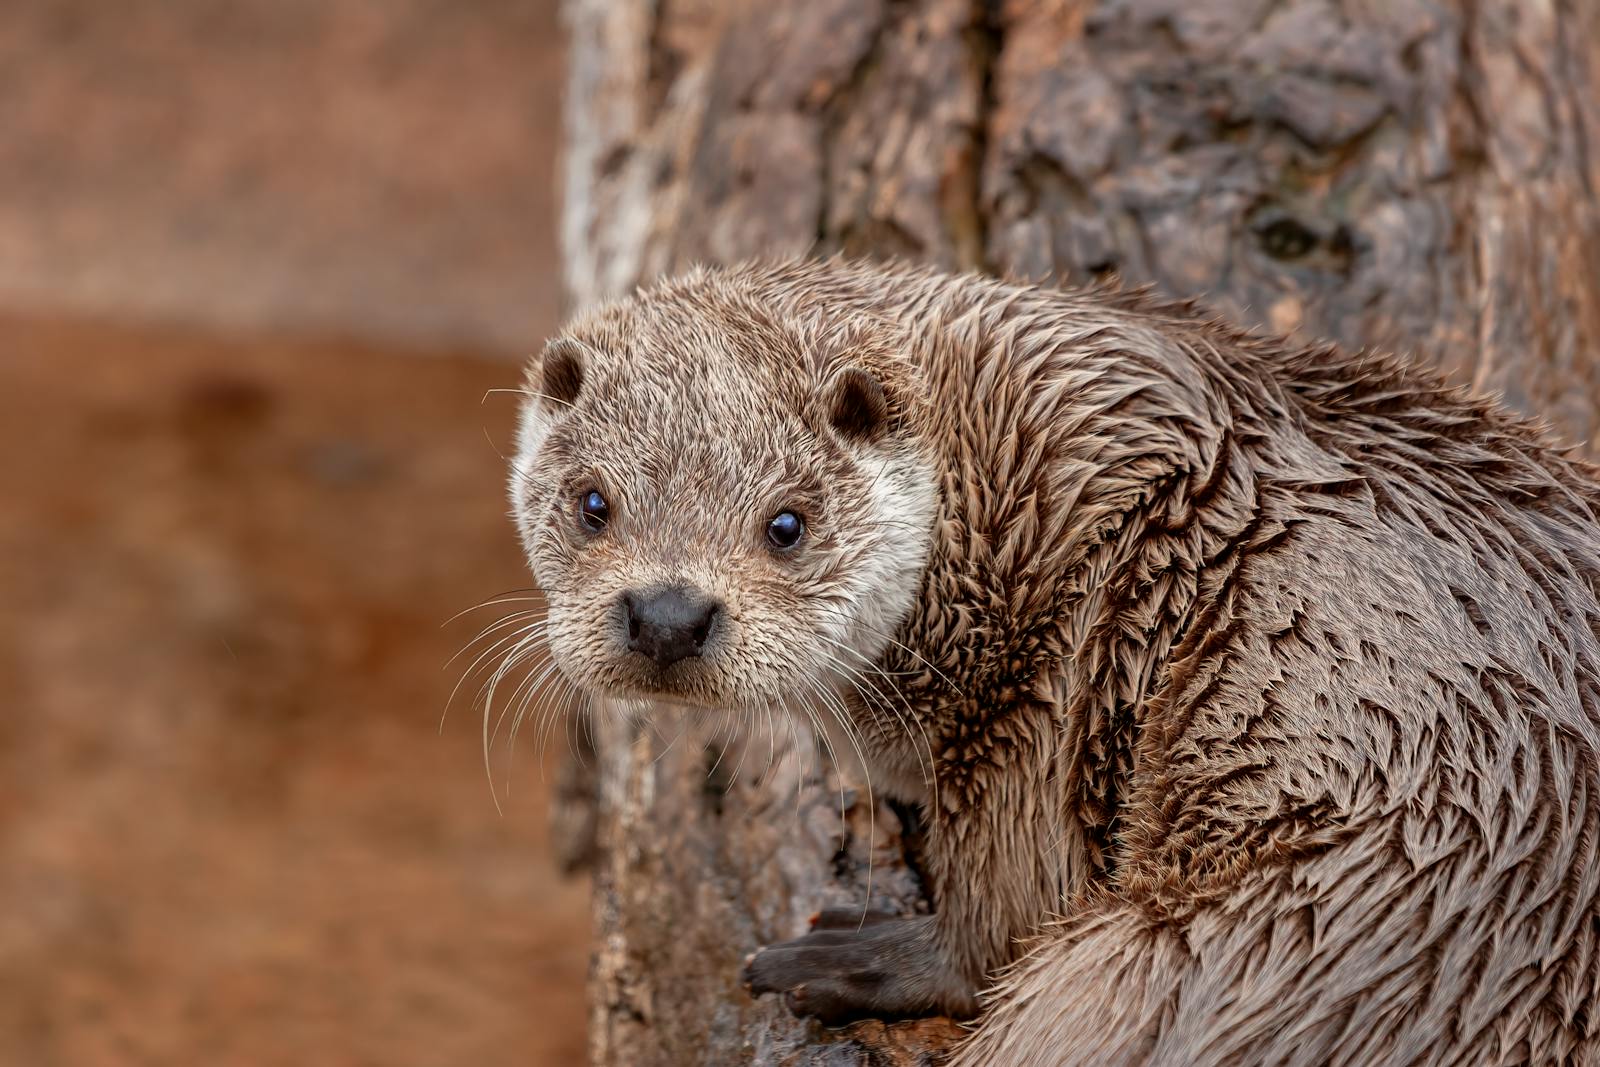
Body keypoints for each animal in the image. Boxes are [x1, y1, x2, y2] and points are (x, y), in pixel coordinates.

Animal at [509, 257, 1600, 1065]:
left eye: (787, 523)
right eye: (592, 501)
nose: (666, 614)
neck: (1013, 478)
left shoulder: (1053, 665)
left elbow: (1007, 903)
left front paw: (854, 957)